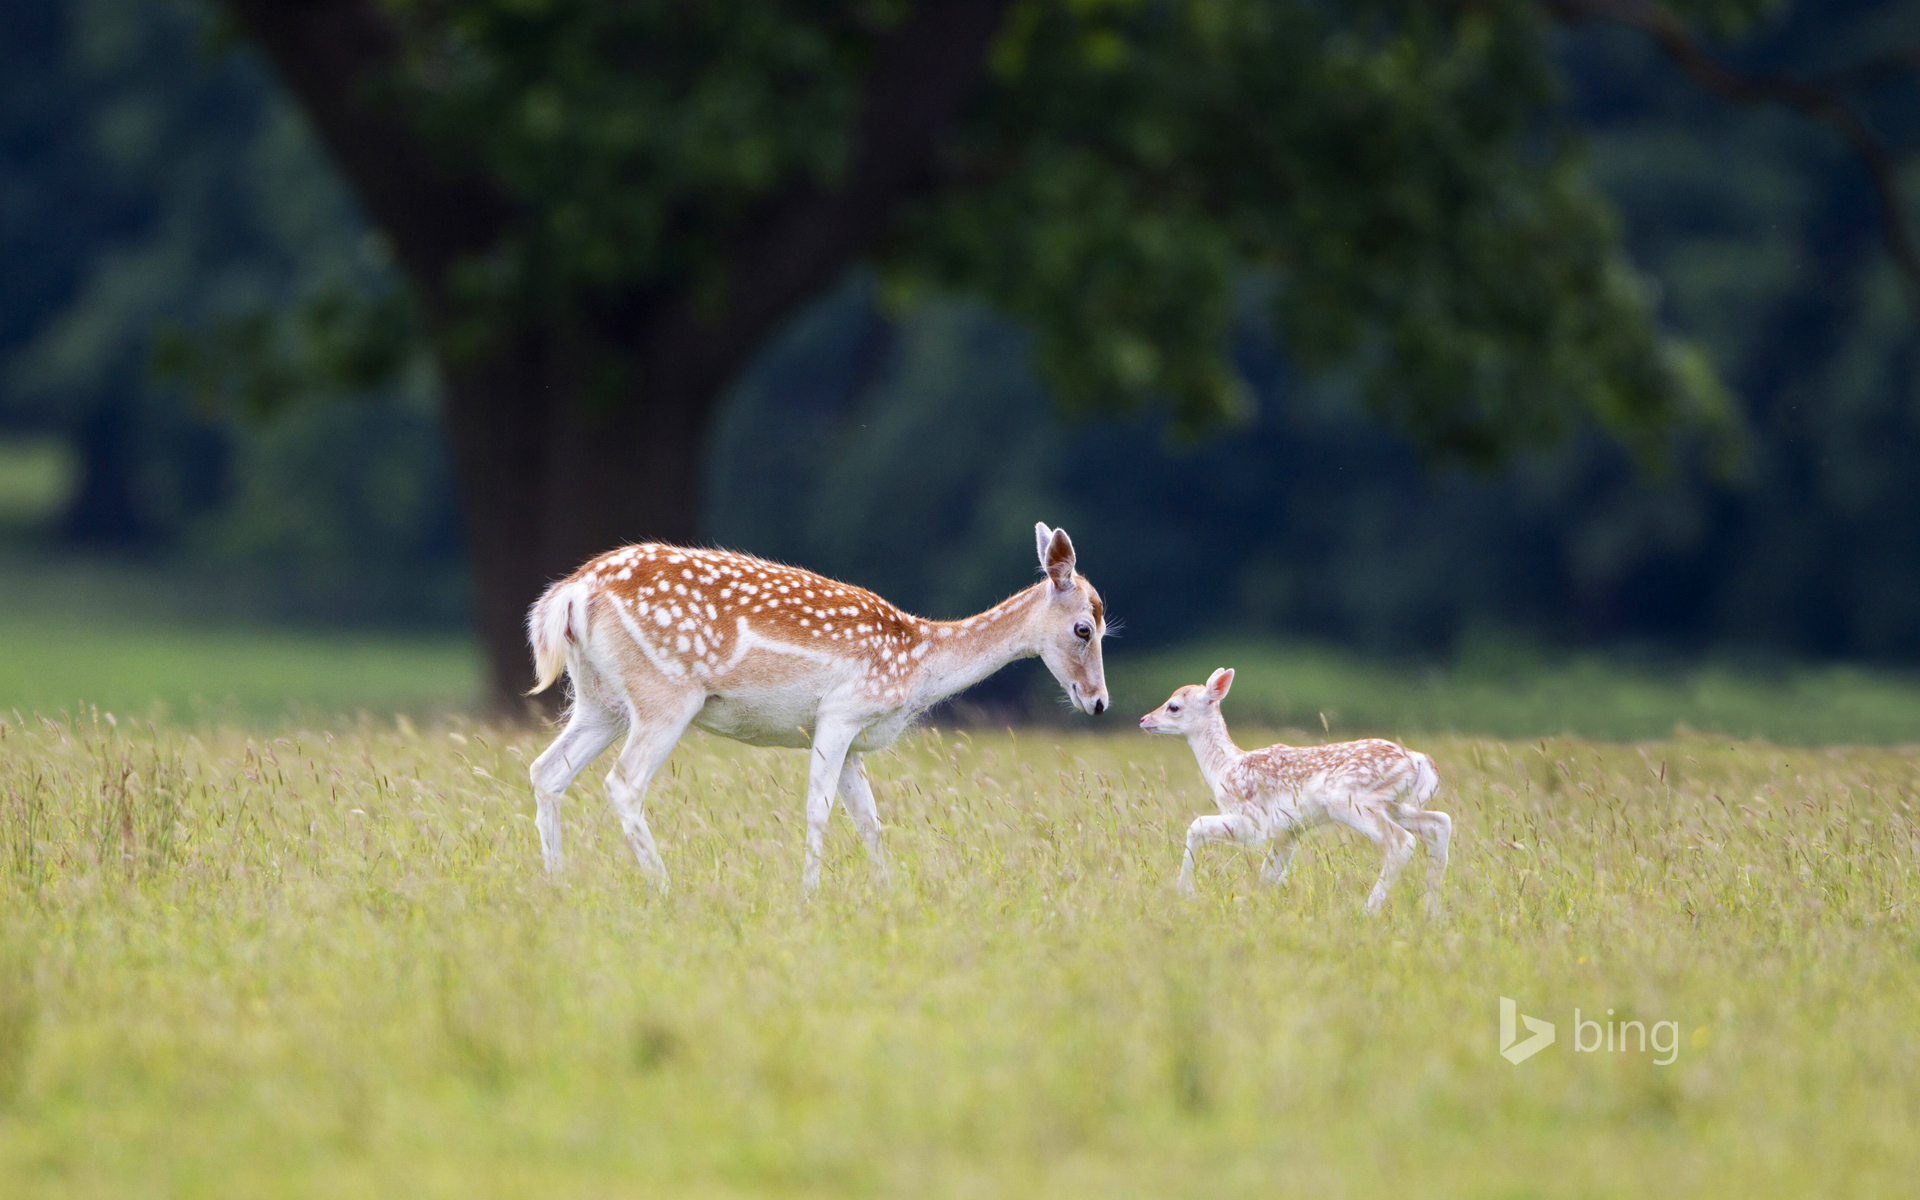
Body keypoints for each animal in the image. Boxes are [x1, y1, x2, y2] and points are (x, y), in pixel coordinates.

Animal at [525, 523, 1109, 894]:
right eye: (1084, 628)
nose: (1099, 702)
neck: (918, 662)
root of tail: (571, 593)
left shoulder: (854, 740)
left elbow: (869, 819)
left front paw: (888, 894)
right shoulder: (840, 713)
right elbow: (819, 809)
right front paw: (808, 897)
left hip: (600, 699)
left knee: (546, 770)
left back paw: (556, 886)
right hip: (664, 693)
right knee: (623, 783)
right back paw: (665, 889)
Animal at [1139, 669, 1450, 915]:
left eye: (1174, 706)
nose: (1144, 720)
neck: (1224, 768)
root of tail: (1418, 760)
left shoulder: (1255, 822)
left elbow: (1196, 825)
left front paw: (1185, 892)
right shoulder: (1287, 833)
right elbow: (1268, 874)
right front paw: (1255, 905)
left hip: (1348, 800)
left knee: (1402, 842)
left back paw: (1367, 911)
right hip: (1392, 803)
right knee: (1440, 823)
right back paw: (1432, 912)